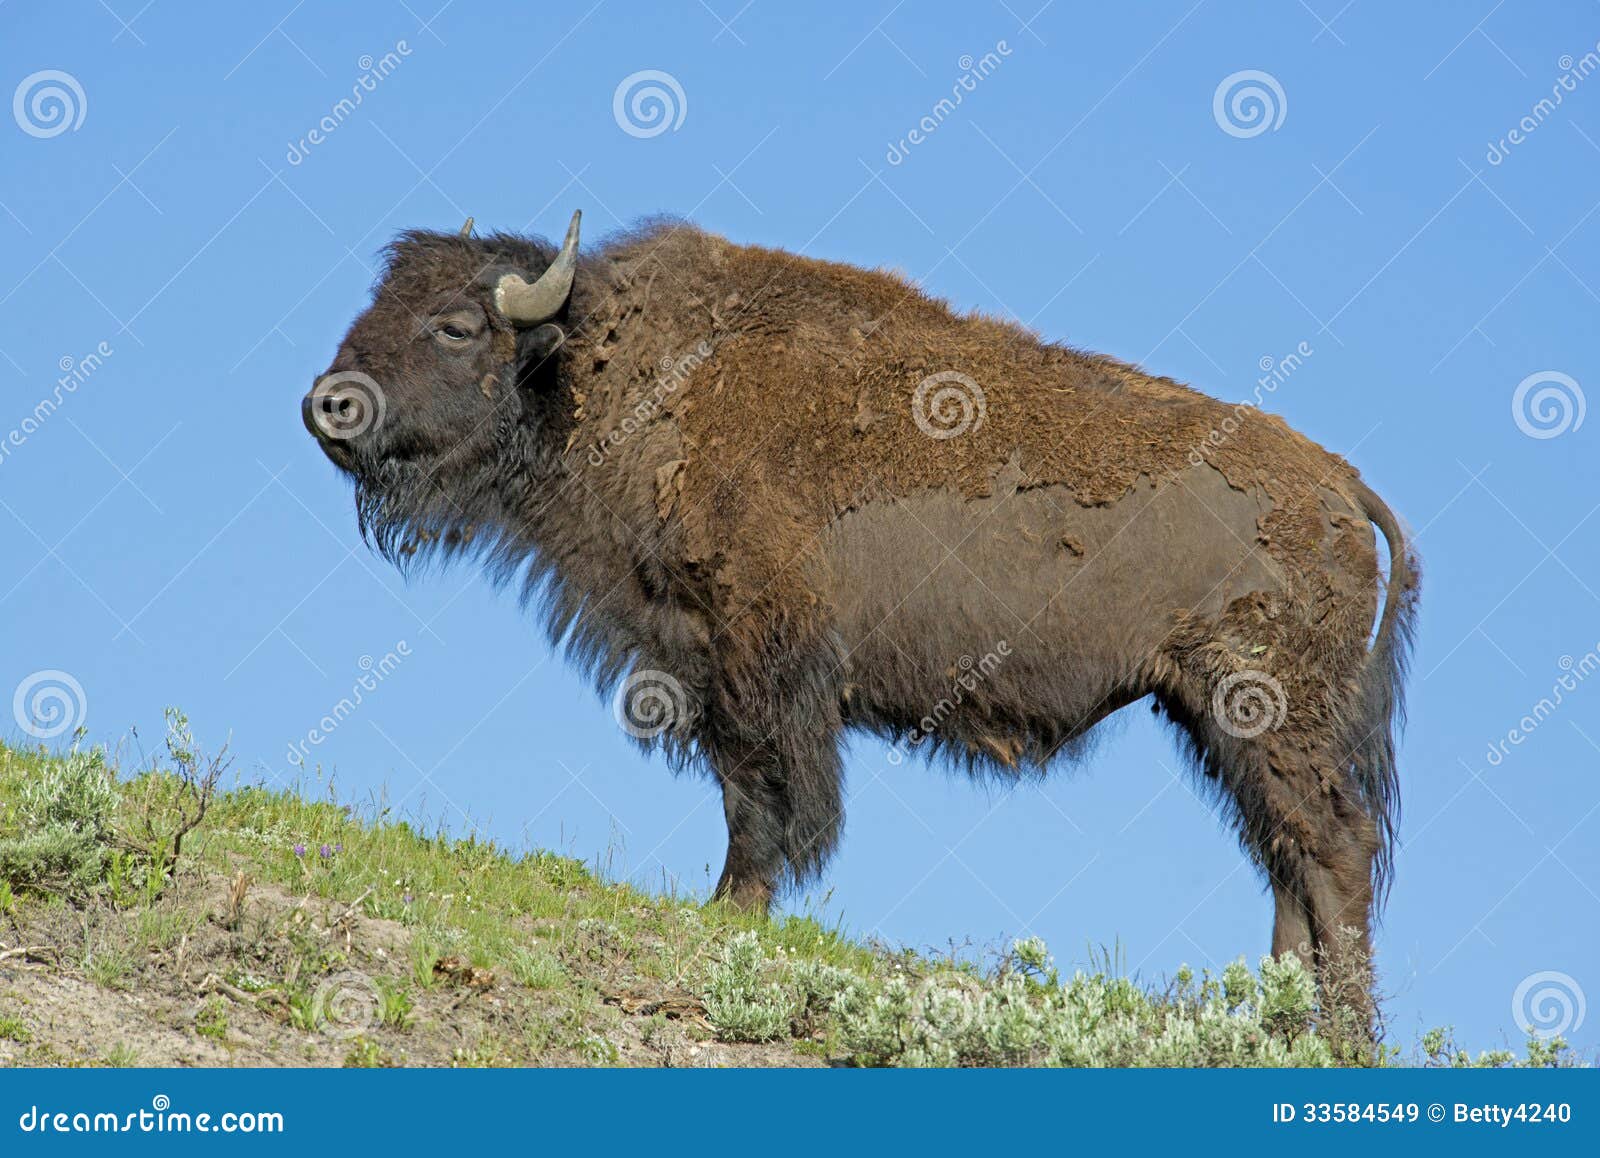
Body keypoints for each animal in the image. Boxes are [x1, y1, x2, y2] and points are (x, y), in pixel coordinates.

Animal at [304, 211, 1417, 1033]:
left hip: (1264, 705)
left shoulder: (761, 656)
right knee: (1288, 857)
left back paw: (1341, 1036)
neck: (607, 370)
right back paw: (1278, 1022)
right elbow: (743, 781)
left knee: (1333, 850)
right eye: (377, 300)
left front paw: (734, 907)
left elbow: (762, 792)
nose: (329, 406)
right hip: (1218, 720)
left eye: (454, 325)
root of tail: (1341, 487)